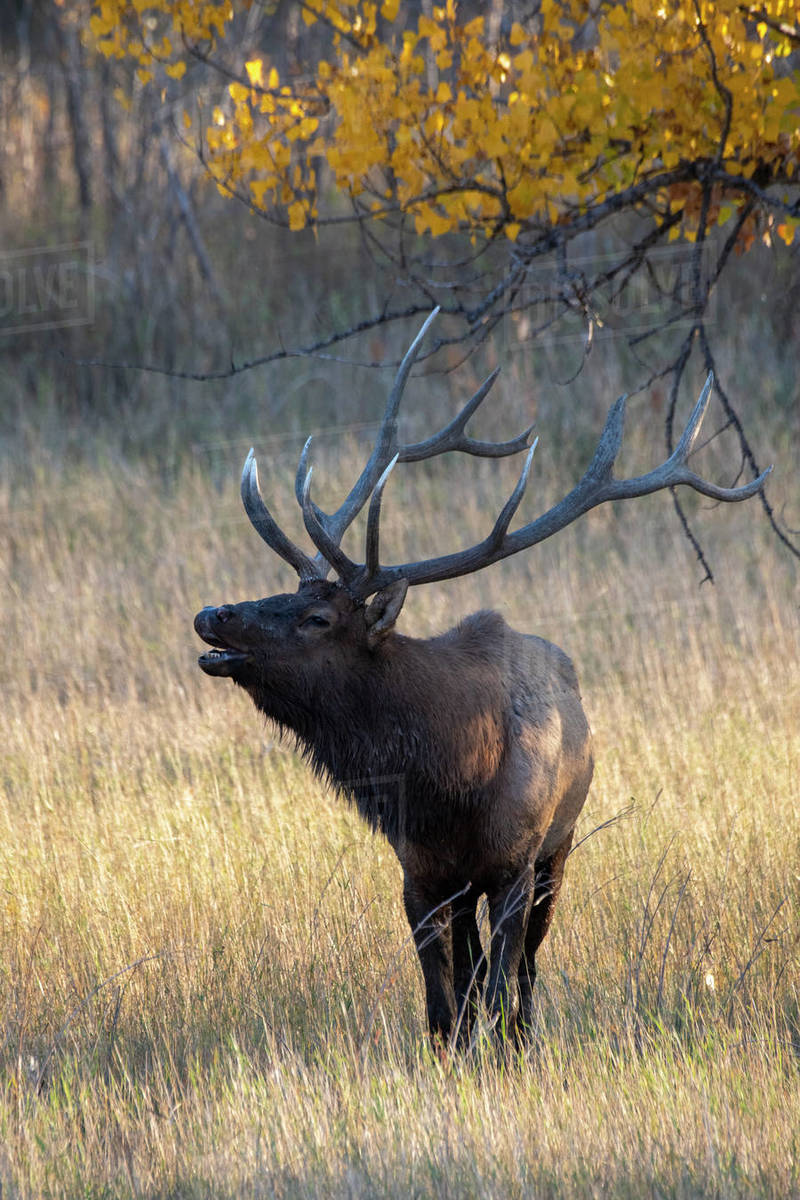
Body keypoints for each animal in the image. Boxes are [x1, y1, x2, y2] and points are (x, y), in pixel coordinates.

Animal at [193, 309, 770, 1049]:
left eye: (317, 617)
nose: (214, 614)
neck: (450, 781)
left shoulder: (514, 864)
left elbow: (497, 987)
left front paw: (507, 1050)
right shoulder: (420, 872)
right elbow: (443, 1011)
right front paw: (455, 1053)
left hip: (560, 850)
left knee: (525, 969)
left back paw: (525, 1034)